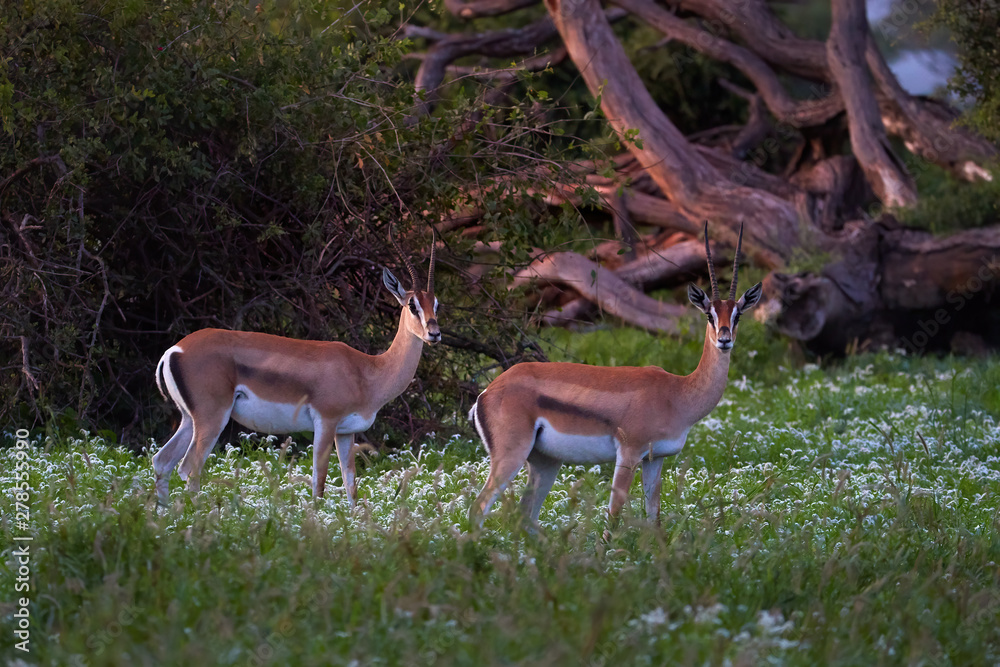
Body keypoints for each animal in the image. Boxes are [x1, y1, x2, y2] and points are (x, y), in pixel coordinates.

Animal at [152, 233, 440, 506]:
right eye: (412, 305)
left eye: (436, 304)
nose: (434, 333)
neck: (366, 370)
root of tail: (175, 350)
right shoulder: (325, 422)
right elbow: (319, 483)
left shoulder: (346, 432)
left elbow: (350, 484)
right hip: (213, 418)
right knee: (190, 469)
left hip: (189, 419)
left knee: (162, 461)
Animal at [468, 223, 762, 530]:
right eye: (709, 314)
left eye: (738, 315)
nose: (725, 340)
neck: (677, 393)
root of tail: (487, 392)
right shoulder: (629, 453)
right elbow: (614, 515)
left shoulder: (655, 459)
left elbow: (654, 517)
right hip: (512, 456)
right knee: (479, 508)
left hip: (545, 462)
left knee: (525, 517)